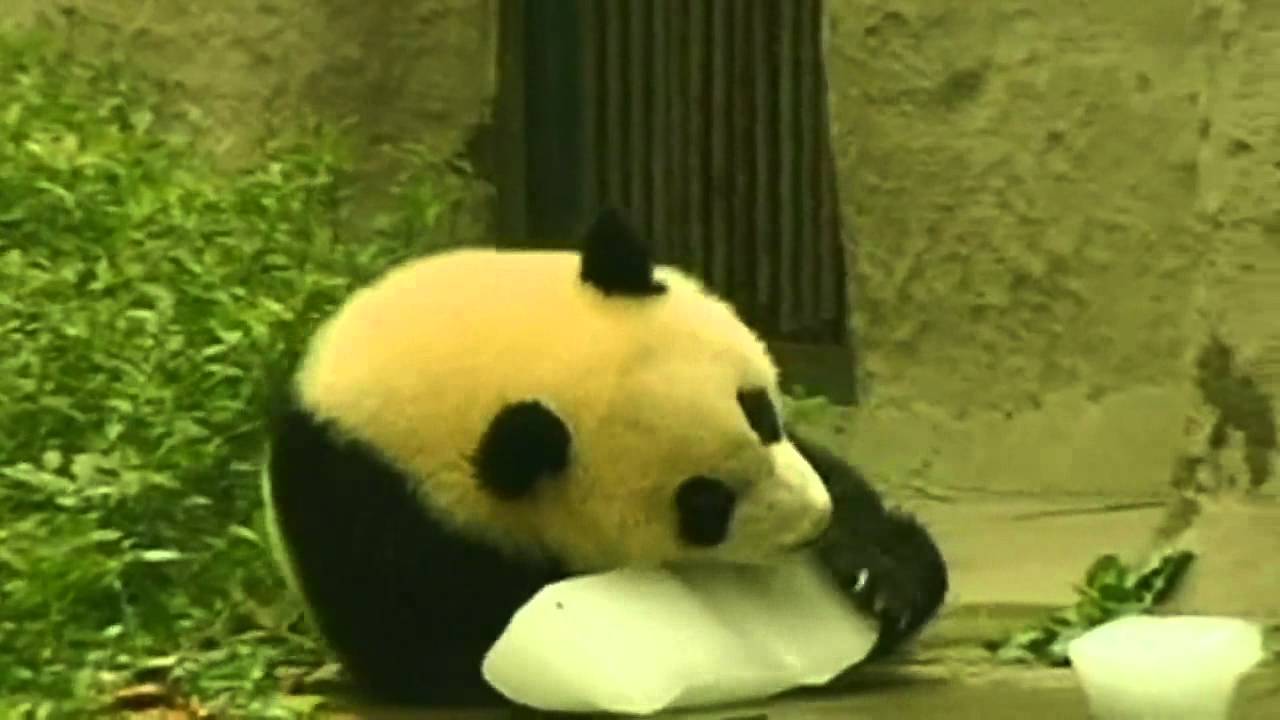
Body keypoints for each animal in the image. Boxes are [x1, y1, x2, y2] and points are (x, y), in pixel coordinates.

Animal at [262, 207, 948, 707]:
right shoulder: (377, 505)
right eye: (704, 505)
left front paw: (882, 574)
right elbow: (438, 639)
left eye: (759, 410)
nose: (812, 524)